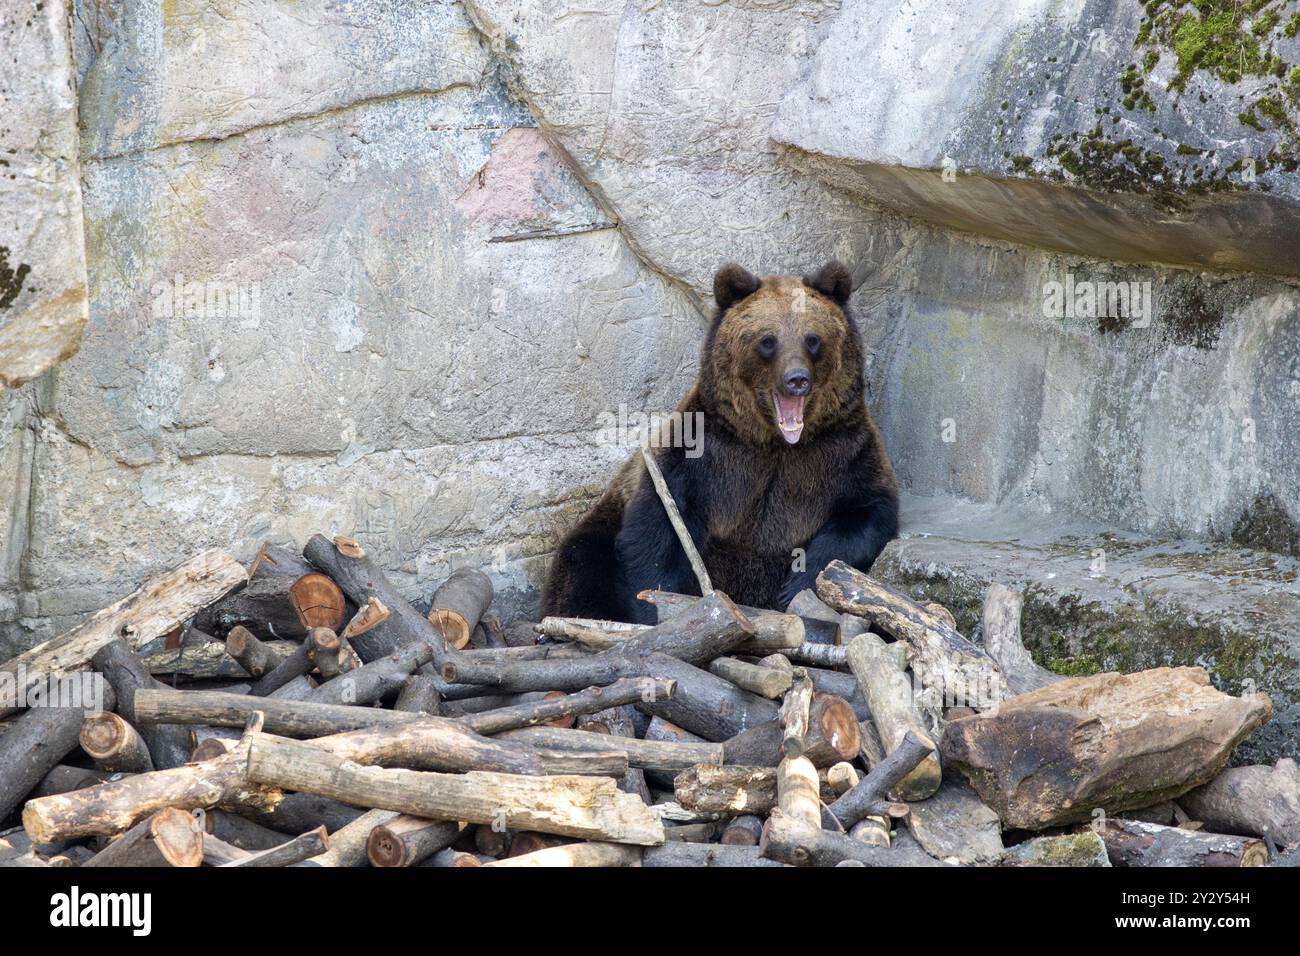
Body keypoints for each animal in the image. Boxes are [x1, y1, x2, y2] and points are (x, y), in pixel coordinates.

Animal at [542, 260, 899, 624]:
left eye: (812, 338)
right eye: (768, 340)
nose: (796, 379)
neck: (776, 444)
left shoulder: (841, 454)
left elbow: (866, 515)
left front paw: (798, 583)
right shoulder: (699, 459)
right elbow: (657, 535)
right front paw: (654, 609)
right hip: (601, 525)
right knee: (581, 563)